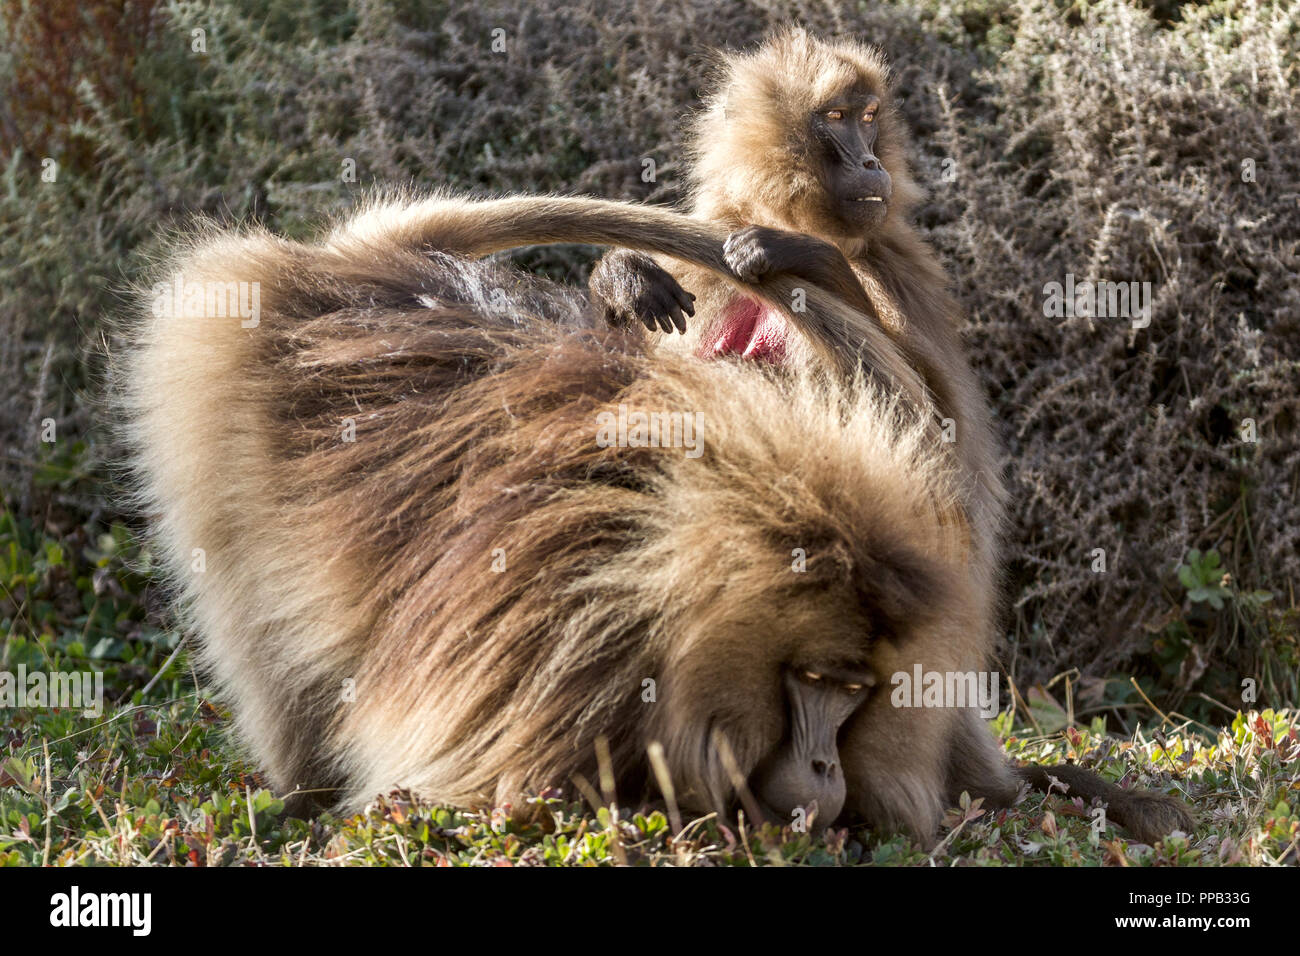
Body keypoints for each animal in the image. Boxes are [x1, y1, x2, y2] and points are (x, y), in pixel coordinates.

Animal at [587, 28, 1193, 843]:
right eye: (838, 117)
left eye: (871, 116)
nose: (872, 162)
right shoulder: (705, 277)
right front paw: (622, 275)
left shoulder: (890, 272)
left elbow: (938, 454)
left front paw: (804, 258)